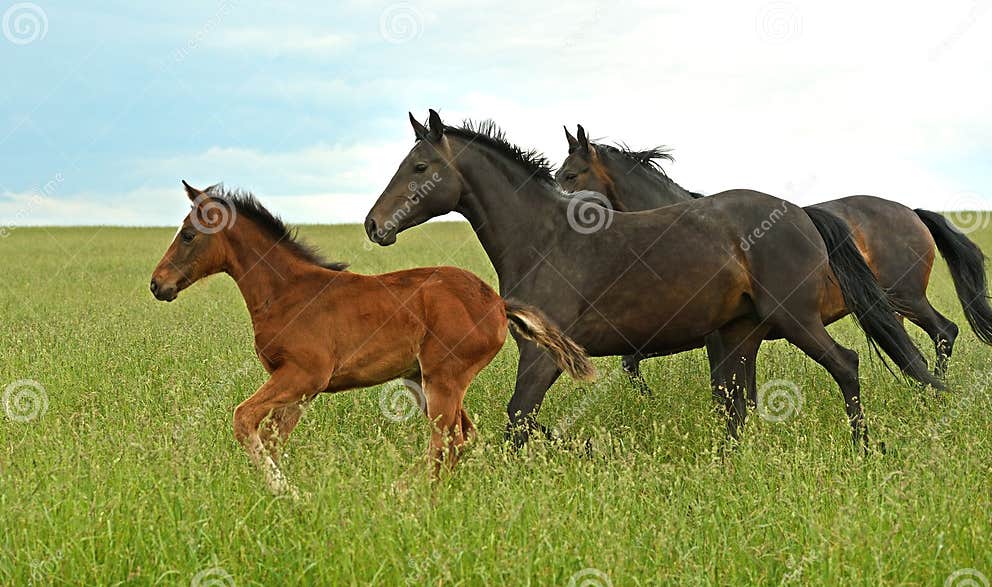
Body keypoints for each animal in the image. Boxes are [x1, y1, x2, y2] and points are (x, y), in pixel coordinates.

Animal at [149, 181, 595, 494]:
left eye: (188, 235)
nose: (157, 284)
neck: (286, 292)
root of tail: (498, 303)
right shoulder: (299, 388)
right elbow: (273, 437)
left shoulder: (303, 376)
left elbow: (243, 420)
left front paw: (286, 491)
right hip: (426, 379)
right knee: (462, 436)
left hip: (443, 378)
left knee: (445, 438)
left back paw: (408, 495)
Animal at [365, 109, 943, 452]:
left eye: (420, 167)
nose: (374, 225)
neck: (544, 237)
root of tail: (800, 214)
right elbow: (524, 419)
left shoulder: (542, 353)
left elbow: (519, 418)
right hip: (742, 333)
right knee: (737, 406)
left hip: (796, 319)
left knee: (848, 364)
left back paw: (865, 448)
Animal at [556, 125, 992, 394]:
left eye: (572, 175)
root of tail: (911, 211)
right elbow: (633, 363)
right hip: (889, 306)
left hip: (907, 296)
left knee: (945, 332)